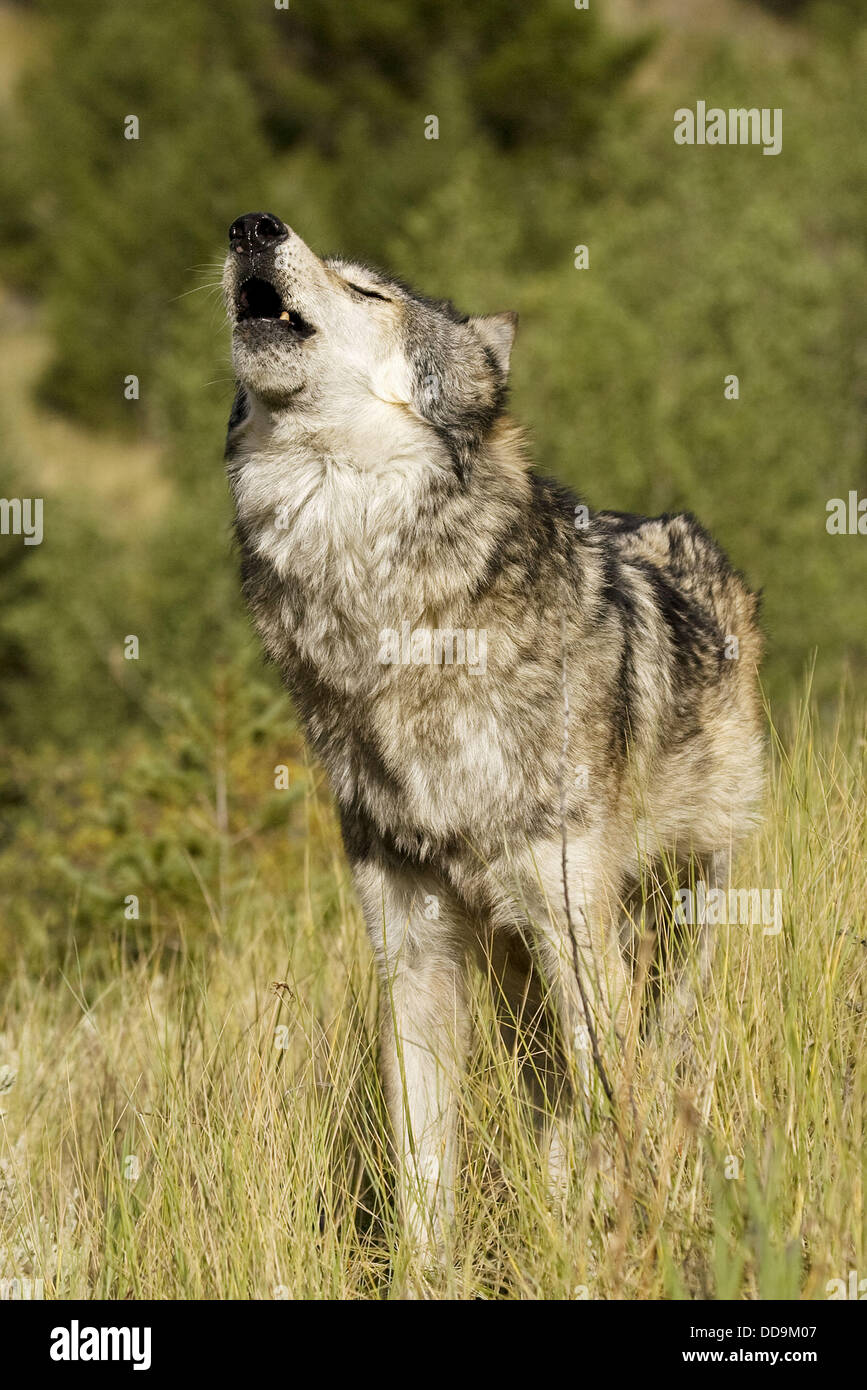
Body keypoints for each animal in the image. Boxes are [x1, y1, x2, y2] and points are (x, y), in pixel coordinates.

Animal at [221, 211, 764, 1259]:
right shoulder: (413, 955)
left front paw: (618, 1250)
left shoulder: (575, 934)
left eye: (368, 291)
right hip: (518, 977)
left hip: (666, 931)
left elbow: (615, 1116)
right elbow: (422, 1180)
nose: (252, 226)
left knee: (656, 1061)